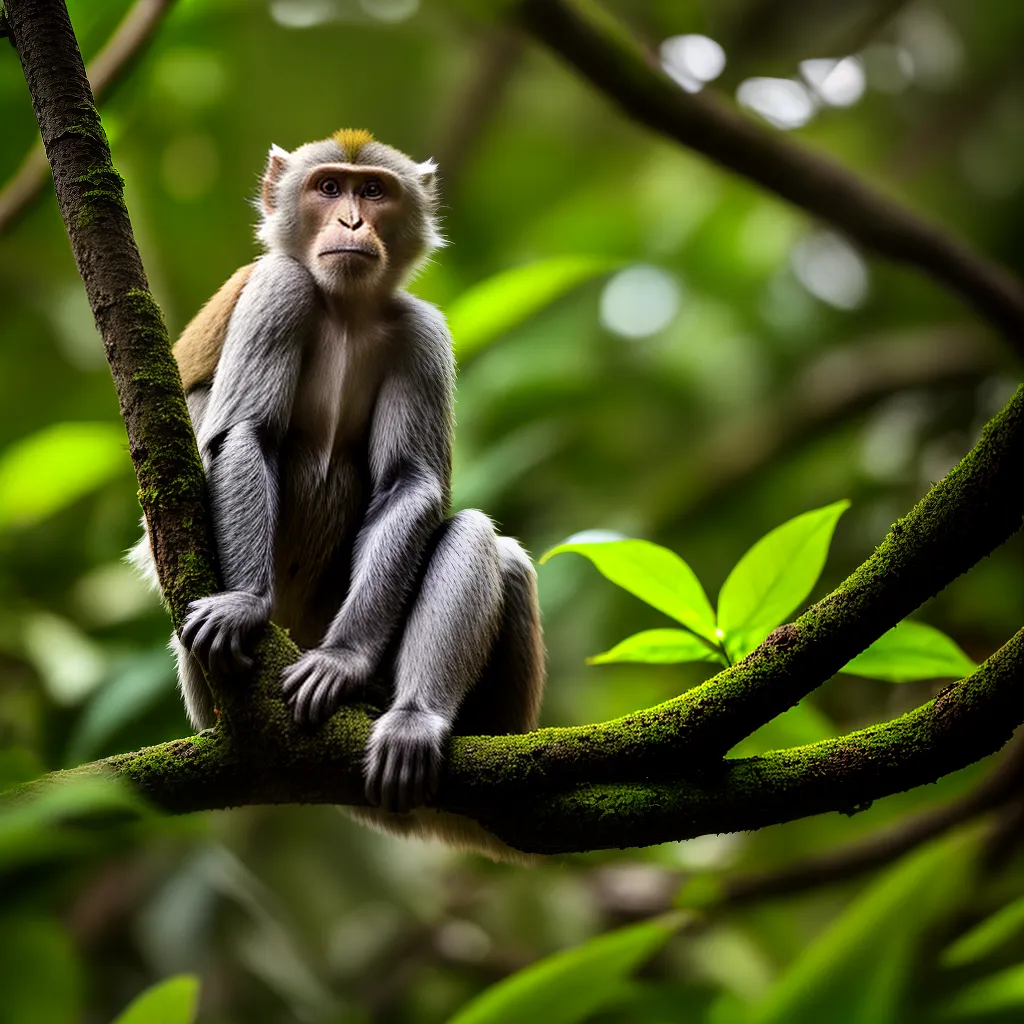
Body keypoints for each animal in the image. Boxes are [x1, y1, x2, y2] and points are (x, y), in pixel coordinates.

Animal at [131, 129, 545, 859]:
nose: (351, 223)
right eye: (328, 188)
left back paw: (418, 720)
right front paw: (243, 603)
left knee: (481, 541)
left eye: (373, 192)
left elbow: (410, 484)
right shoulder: (279, 288)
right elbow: (248, 432)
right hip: (206, 687)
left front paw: (343, 662)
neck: (346, 311)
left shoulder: (422, 331)